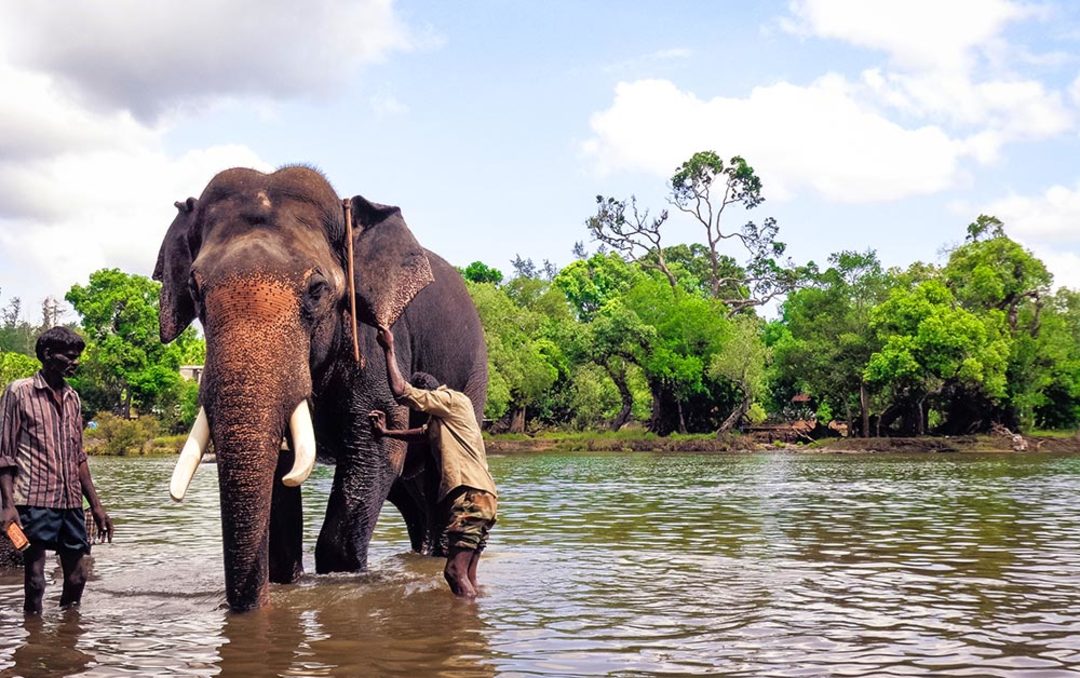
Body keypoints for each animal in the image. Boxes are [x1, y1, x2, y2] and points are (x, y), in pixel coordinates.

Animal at [153, 166, 487, 611]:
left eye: (317, 291)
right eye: (194, 290)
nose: (241, 608)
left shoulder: (367, 334)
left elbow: (374, 447)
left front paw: (340, 576)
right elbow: (282, 469)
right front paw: (281, 578)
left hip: (474, 377)